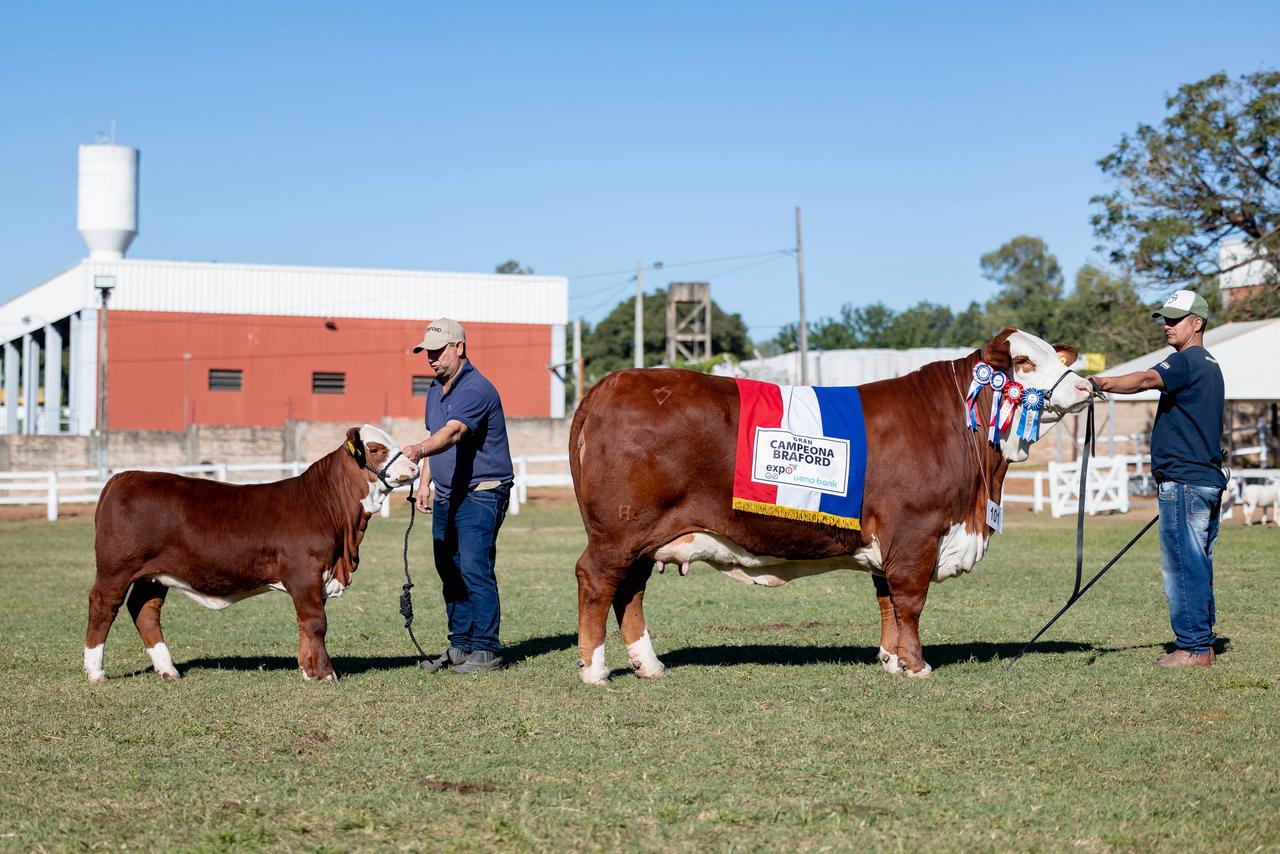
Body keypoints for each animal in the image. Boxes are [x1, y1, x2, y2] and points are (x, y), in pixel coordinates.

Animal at [84, 424, 419, 684]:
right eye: (376, 448)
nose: (415, 468)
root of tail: (127, 476)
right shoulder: (304, 572)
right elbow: (315, 623)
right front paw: (326, 674)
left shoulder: (312, 580)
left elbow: (304, 623)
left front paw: (308, 672)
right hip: (117, 568)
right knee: (103, 606)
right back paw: (95, 672)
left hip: (154, 575)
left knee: (145, 610)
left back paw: (168, 670)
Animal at [568, 327, 1096, 684]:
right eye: (1023, 361)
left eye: (1056, 357)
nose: (1085, 387)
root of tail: (612, 383)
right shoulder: (916, 532)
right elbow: (910, 601)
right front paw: (916, 666)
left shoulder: (890, 542)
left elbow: (887, 601)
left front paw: (890, 660)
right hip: (619, 530)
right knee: (597, 580)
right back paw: (595, 669)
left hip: (642, 536)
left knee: (630, 590)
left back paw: (649, 665)